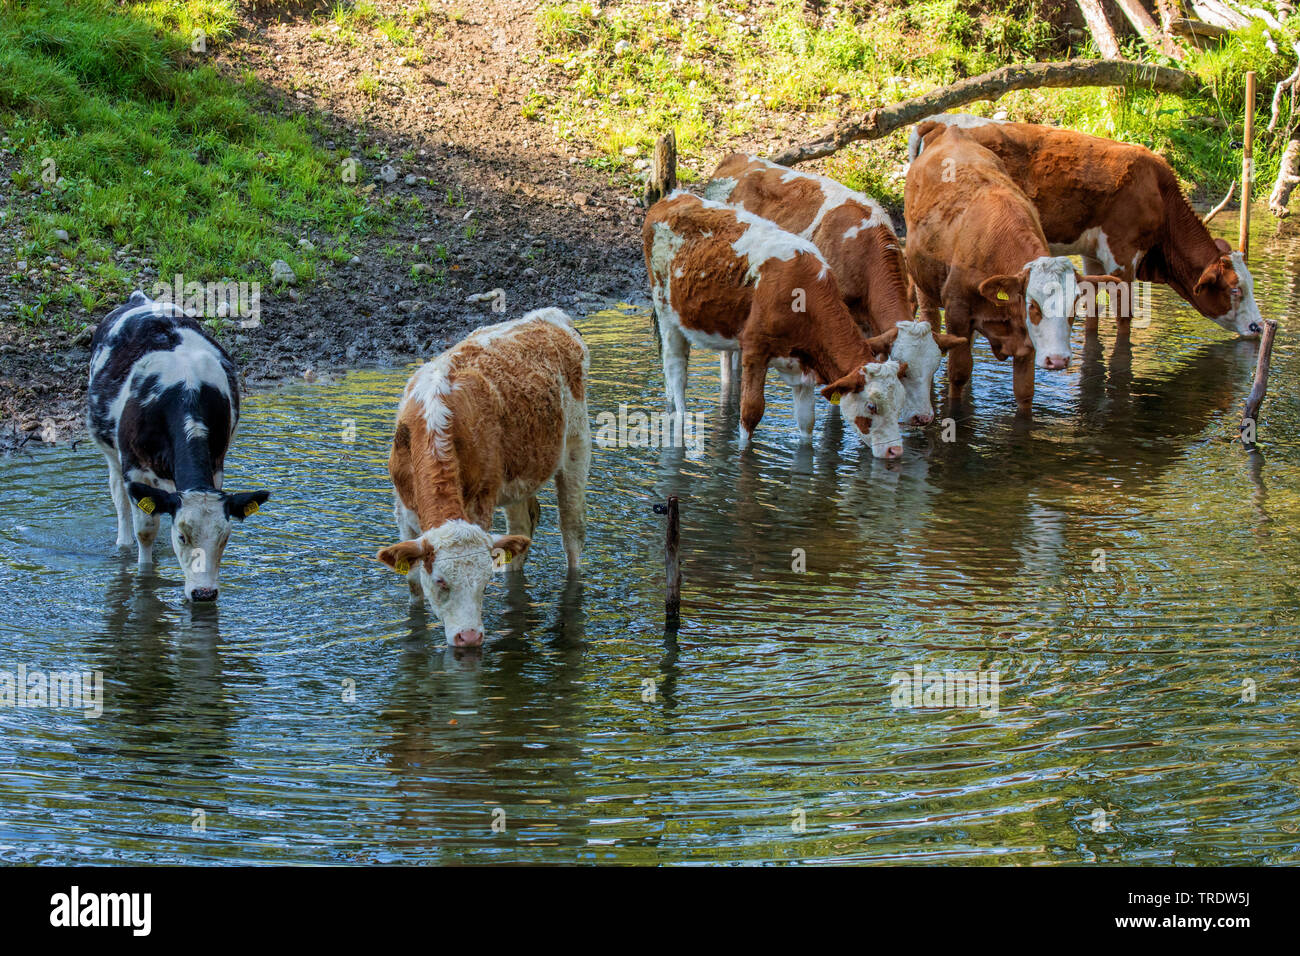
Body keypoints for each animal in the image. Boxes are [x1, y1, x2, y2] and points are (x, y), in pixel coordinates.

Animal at [87, 290, 270, 601]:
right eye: (182, 536)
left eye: (225, 537)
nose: (204, 593)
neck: (185, 389)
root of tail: (141, 299)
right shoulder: (134, 468)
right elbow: (146, 531)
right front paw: (145, 578)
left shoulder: (217, 464)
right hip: (111, 454)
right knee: (120, 499)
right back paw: (123, 545)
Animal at [374, 308, 590, 648]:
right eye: (441, 582)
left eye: (486, 582)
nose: (470, 637)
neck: (432, 420)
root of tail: (549, 316)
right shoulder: (404, 512)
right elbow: (413, 584)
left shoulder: (481, 502)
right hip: (516, 478)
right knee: (521, 530)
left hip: (576, 447)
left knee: (572, 530)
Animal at [643, 191, 907, 458]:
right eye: (871, 406)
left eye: (900, 402)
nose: (895, 450)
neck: (802, 296)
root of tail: (672, 197)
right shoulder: (754, 350)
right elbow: (750, 413)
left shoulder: (803, 367)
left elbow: (806, 422)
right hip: (667, 315)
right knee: (676, 371)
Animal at [905, 122, 1117, 414]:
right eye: (1033, 305)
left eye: (1074, 305)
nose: (1058, 360)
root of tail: (949, 129)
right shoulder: (958, 312)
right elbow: (958, 375)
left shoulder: (1025, 339)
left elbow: (1024, 392)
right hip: (924, 285)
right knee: (931, 322)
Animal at [909, 113, 1264, 338]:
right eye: (1235, 289)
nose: (1258, 328)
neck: (1159, 192)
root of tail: (938, 122)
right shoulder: (1122, 255)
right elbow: (1123, 317)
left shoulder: (1094, 256)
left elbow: (1092, 310)